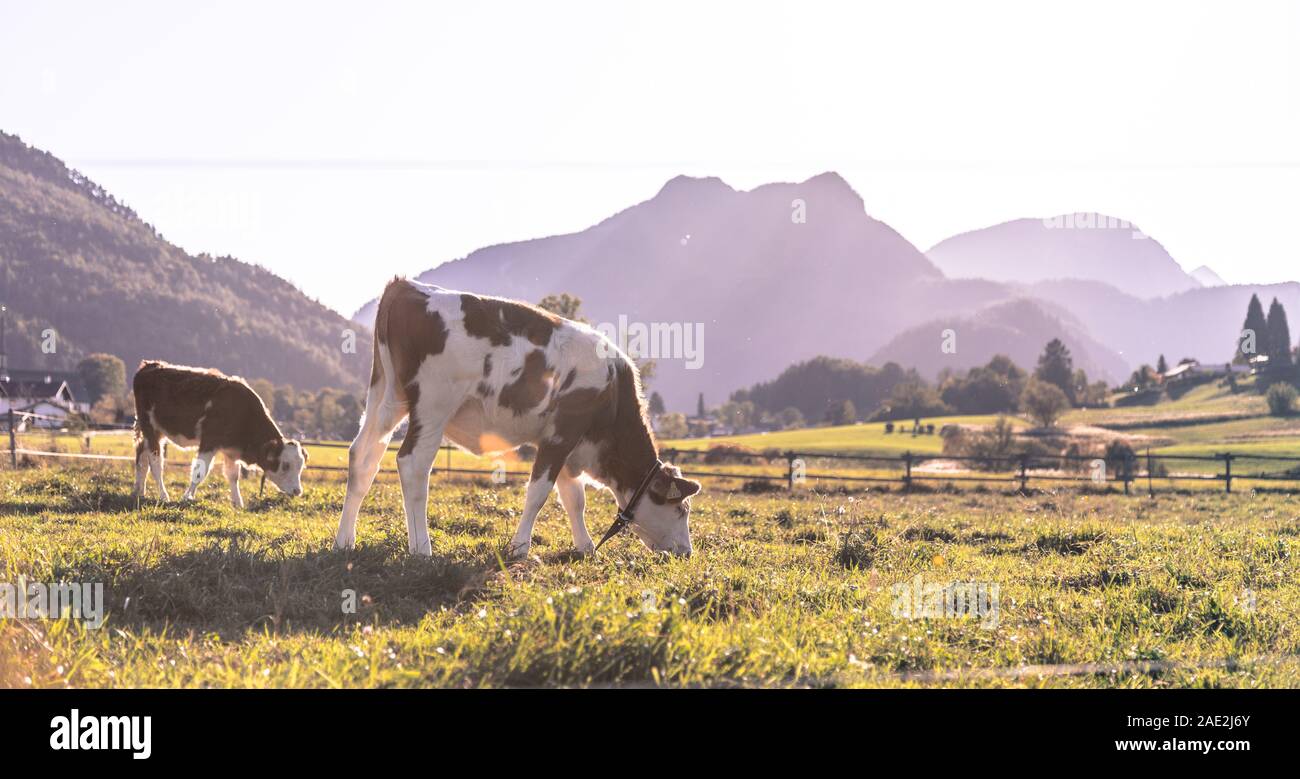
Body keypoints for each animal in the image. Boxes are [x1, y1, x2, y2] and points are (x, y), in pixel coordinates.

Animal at [131, 360, 307, 508]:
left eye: (301, 466)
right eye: (285, 465)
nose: (298, 491)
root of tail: (149, 365)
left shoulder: (231, 450)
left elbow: (233, 476)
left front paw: (238, 503)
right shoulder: (209, 442)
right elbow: (199, 473)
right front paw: (187, 497)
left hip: (153, 431)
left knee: (142, 459)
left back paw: (139, 491)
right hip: (150, 427)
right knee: (155, 463)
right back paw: (163, 495)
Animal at [334, 278, 701, 558]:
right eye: (681, 509)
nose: (686, 552)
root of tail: (406, 285)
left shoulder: (568, 443)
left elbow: (574, 498)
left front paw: (585, 548)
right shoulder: (561, 434)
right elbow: (539, 492)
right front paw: (520, 548)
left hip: (383, 395)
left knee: (363, 457)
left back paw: (344, 541)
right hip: (433, 405)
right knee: (412, 464)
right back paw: (422, 549)